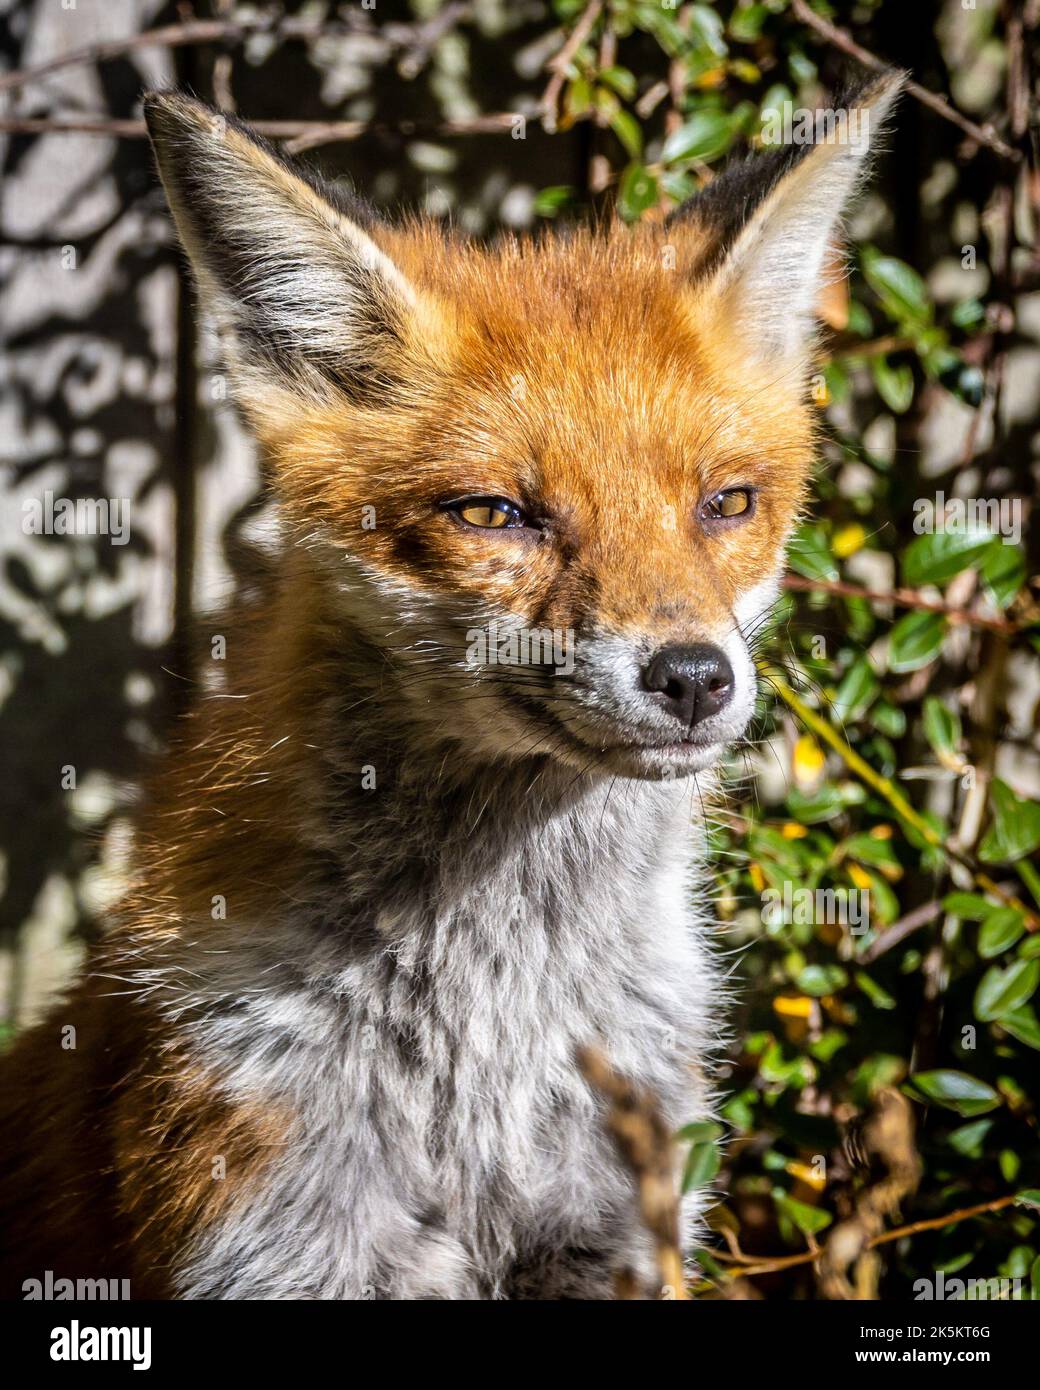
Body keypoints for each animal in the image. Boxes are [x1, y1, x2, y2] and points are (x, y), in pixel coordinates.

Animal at [0, 74, 901, 1300]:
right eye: (494, 514)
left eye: (726, 503)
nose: (692, 678)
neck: (490, 1032)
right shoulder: (280, 1231)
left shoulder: (619, 1226)